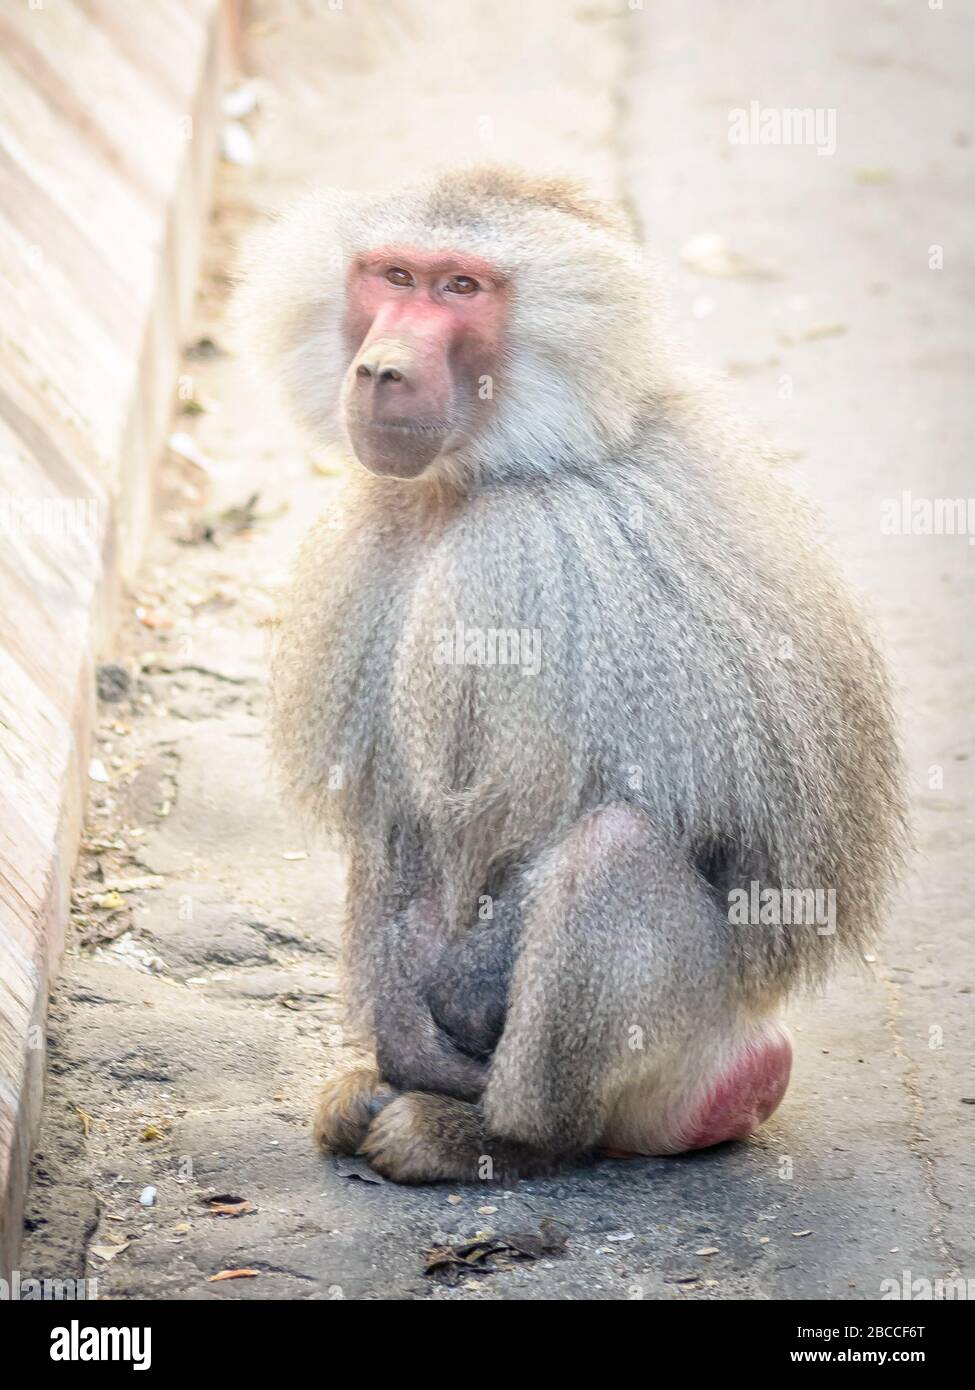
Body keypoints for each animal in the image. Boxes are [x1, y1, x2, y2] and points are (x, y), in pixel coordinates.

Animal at [239, 165, 907, 1183]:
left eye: (461, 289)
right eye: (392, 274)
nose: (382, 370)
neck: (490, 472)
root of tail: (749, 1063)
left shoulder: (524, 560)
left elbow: (547, 816)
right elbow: (401, 824)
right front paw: (396, 1053)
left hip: (688, 1039)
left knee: (613, 851)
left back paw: (497, 1139)